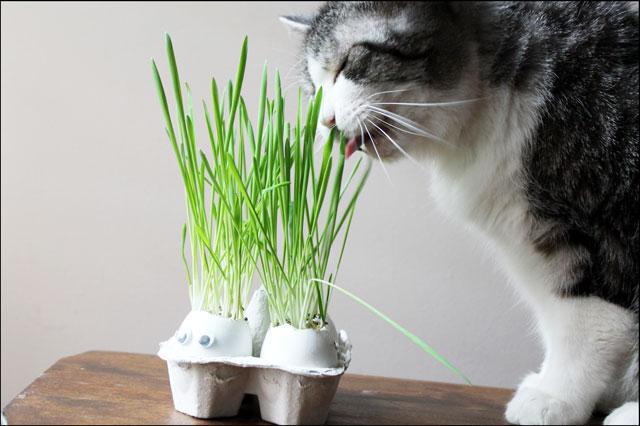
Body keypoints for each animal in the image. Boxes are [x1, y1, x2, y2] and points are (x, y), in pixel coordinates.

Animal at [282, 1, 636, 424]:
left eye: (348, 62)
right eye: (313, 89)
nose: (327, 122)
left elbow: (586, 327)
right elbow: (561, 323)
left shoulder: (596, 228)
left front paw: (557, 396)